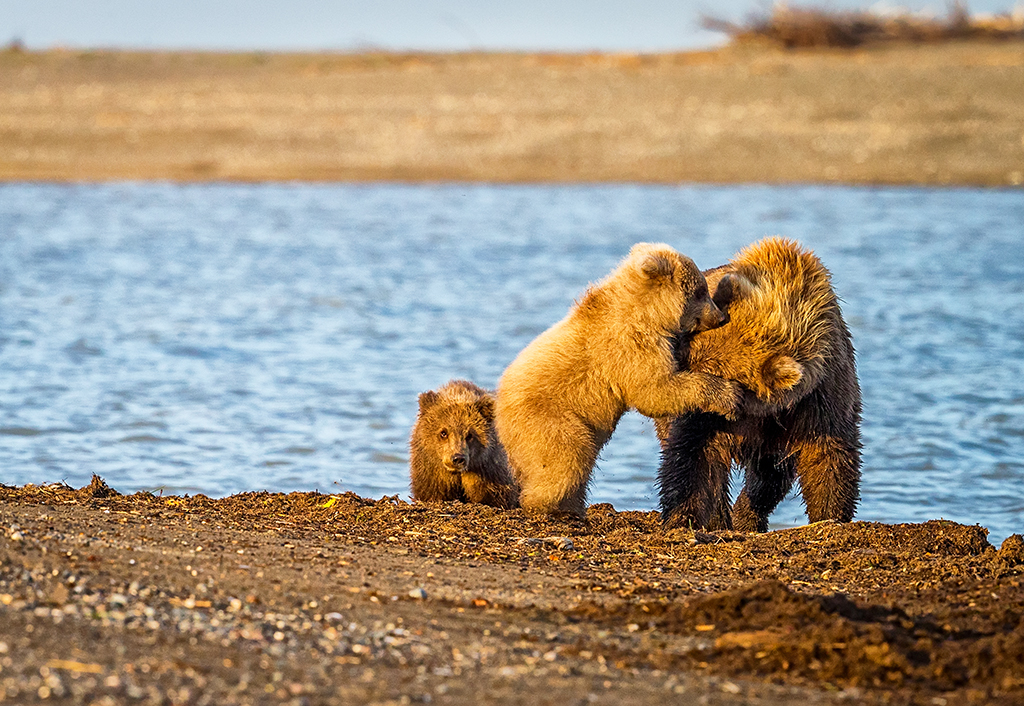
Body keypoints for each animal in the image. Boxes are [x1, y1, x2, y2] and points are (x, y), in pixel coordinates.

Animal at [495, 242, 743, 518]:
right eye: (700, 291)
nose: (720, 316)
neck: (647, 313)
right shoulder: (630, 347)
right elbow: (655, 391)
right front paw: (730, 396)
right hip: (549, 418)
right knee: (566, 457)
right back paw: (550, 505)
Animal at [655, 237, 862, 533]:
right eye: (690, 345)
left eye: (710, 367)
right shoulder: (709, 415)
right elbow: (695, 453)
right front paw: (685, 516)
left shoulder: (821, 390)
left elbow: (827, 452)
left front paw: (830, 515)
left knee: (771, 473)